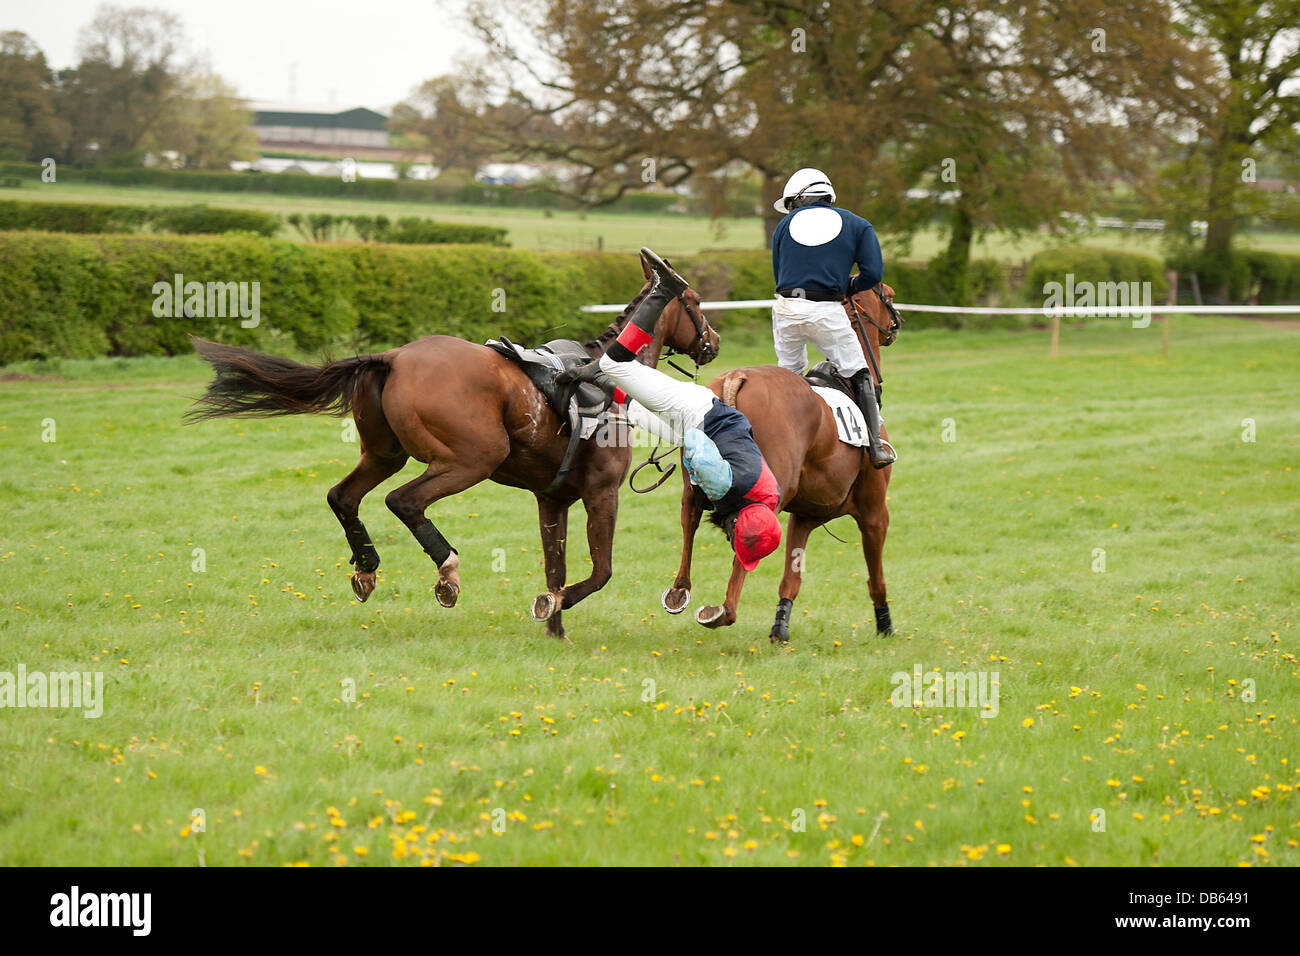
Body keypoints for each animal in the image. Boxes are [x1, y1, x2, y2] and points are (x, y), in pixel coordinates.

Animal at [186, 253, 719, 641]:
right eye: (695, 301)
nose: (713, 341)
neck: (610, 378)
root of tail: (394, 356)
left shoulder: (552, 500)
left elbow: (556, 566)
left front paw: (556, 631)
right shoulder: (600, 493)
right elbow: (599, 571)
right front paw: (553, 607)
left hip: (385, 454)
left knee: (343, 497)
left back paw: (367, 568)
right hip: (472, 459)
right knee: (403, 500)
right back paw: (446, 573)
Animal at [661, 283, 902, 643]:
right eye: (889, 295)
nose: (896, 323)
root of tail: (736, 378)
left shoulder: (804, 517)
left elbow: (791, 578)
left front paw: (780, 628)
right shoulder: (874, 513)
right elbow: (877, 578)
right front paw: (885, 625)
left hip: (697, 484)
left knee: (689, 518)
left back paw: (680, 591)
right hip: (771, 492)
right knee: (746, 536)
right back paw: (723, 611)